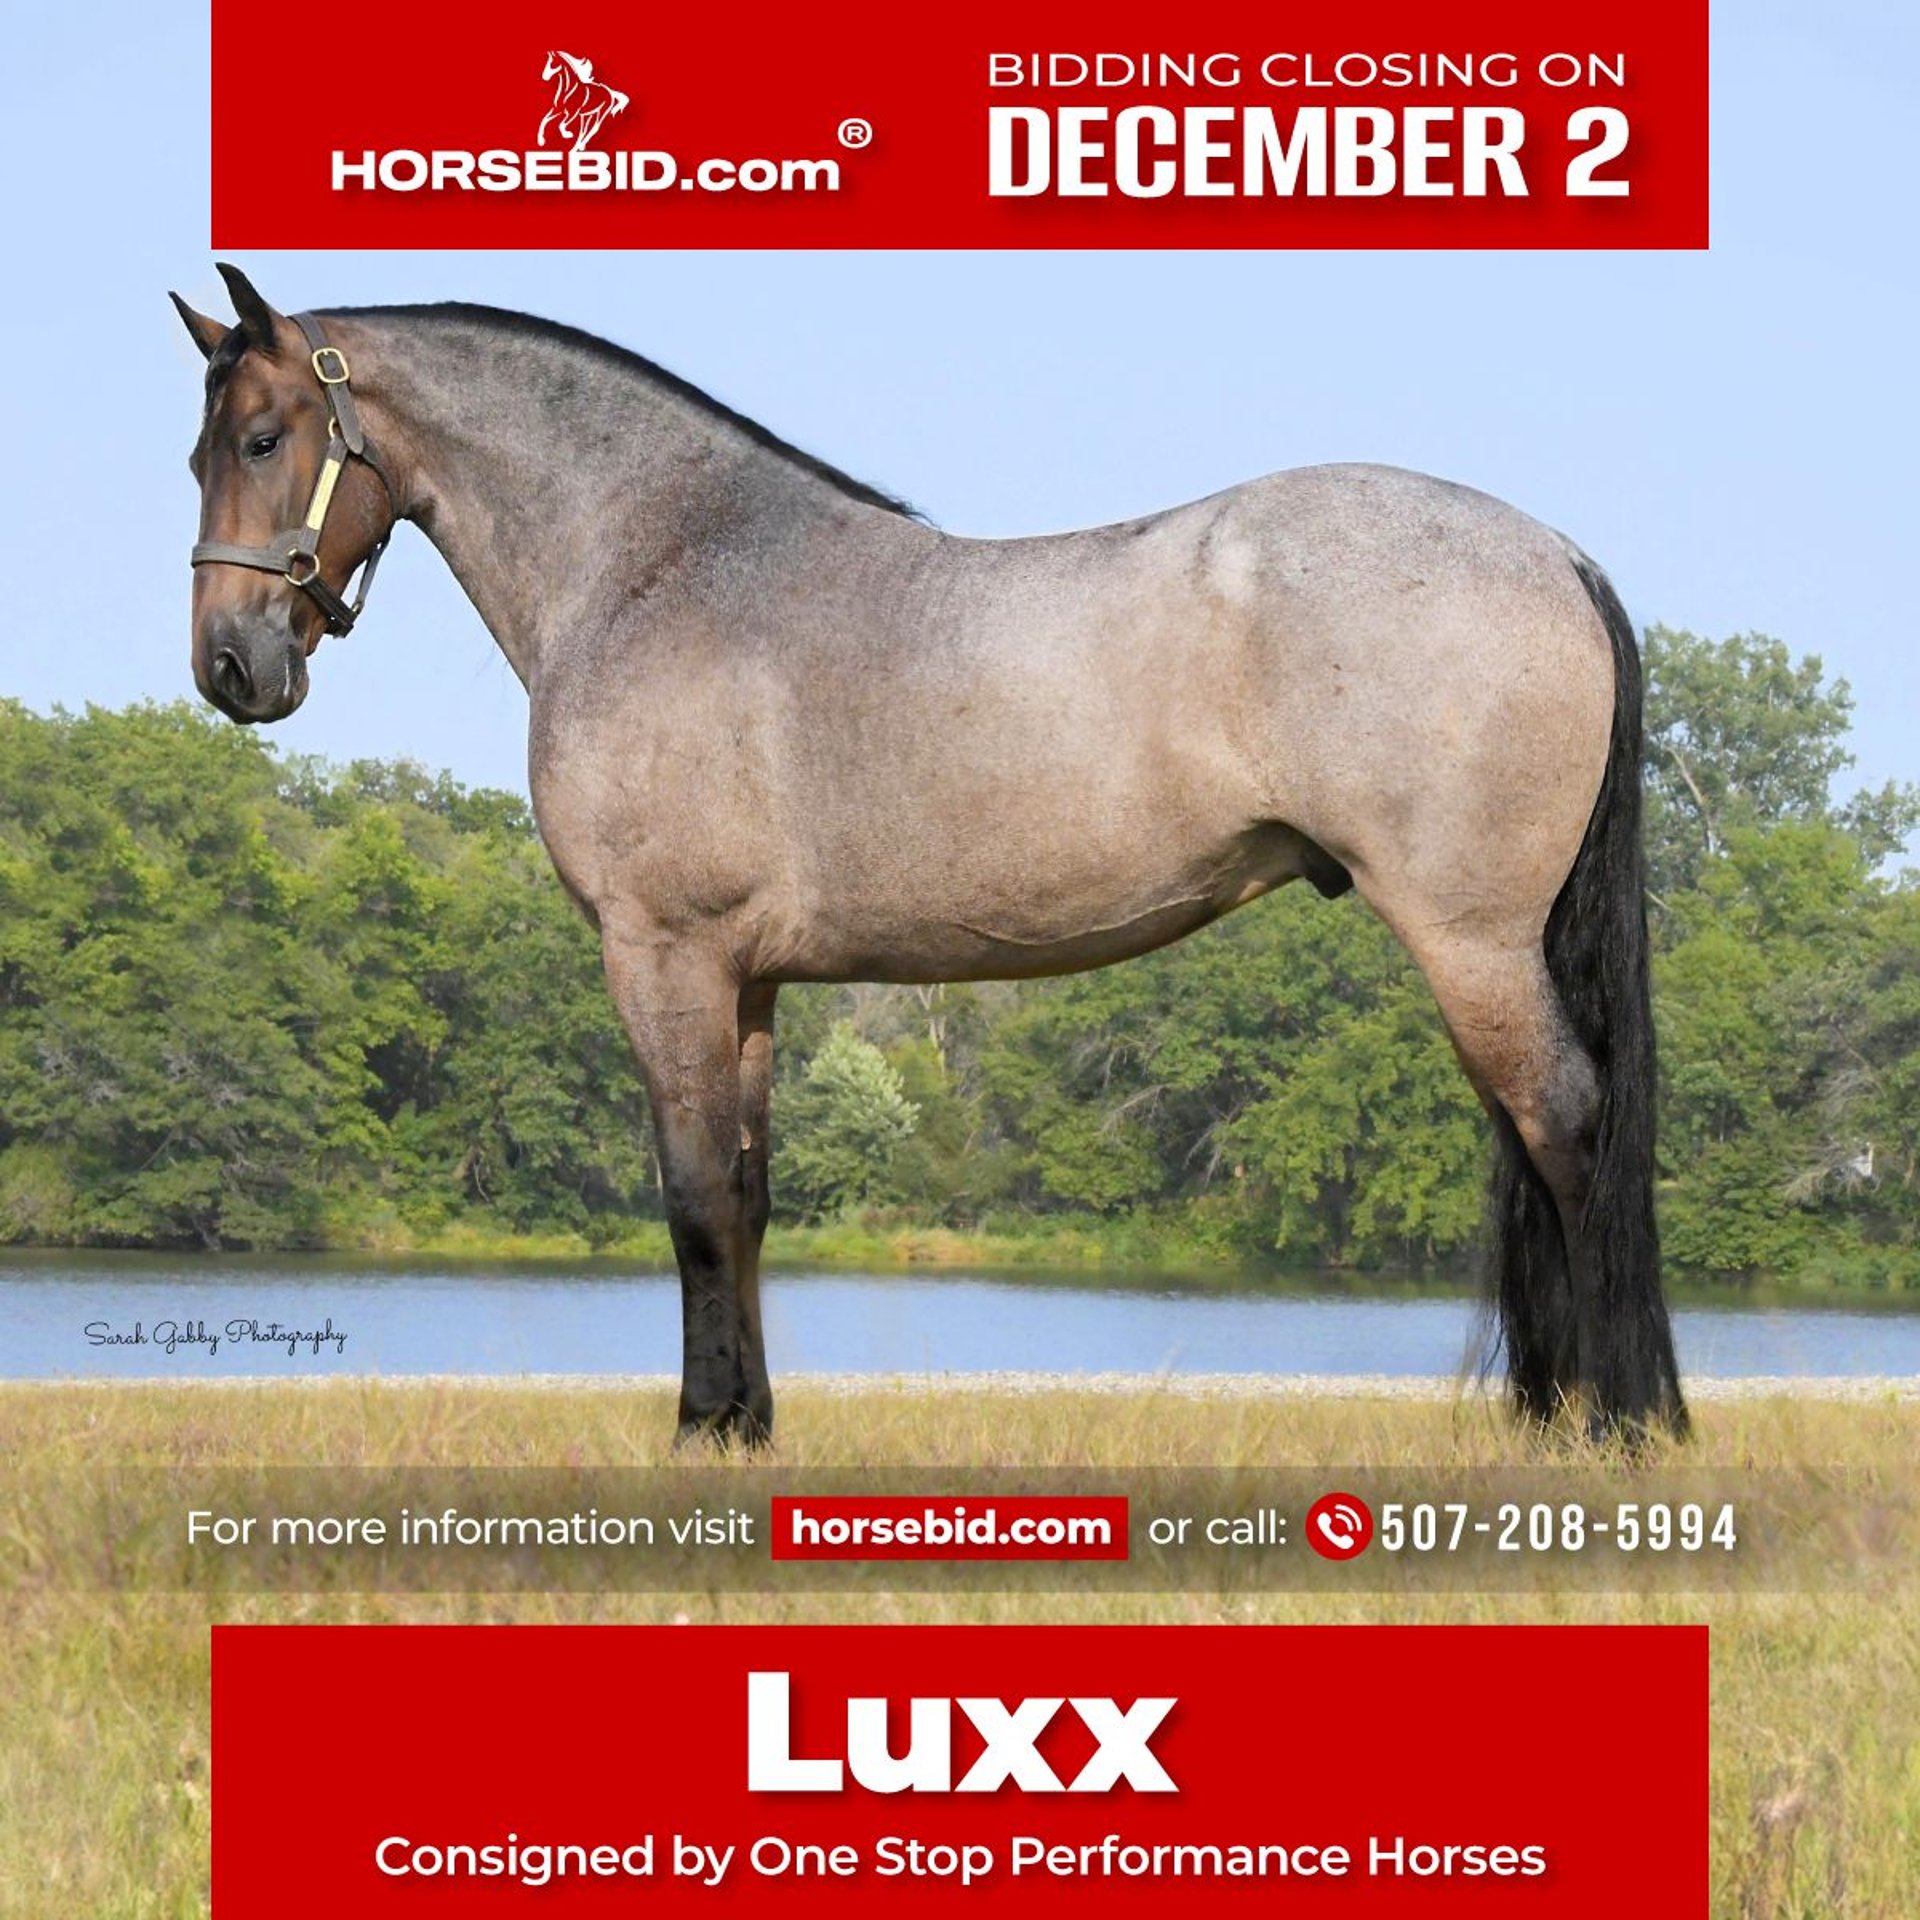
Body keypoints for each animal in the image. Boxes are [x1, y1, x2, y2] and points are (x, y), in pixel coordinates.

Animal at [171, 262, 1687, 1446]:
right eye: (202, 453)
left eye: (263, 439)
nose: (231, 668)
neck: (659, 563)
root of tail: (1552, 552)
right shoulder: (751, 980)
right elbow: (750, 1194)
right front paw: (748, 1425)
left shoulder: (664, 952)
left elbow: (692, 1196)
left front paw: (700, 1427)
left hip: (1470, 937)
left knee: (1569, 1124)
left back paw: (1623, 1421)